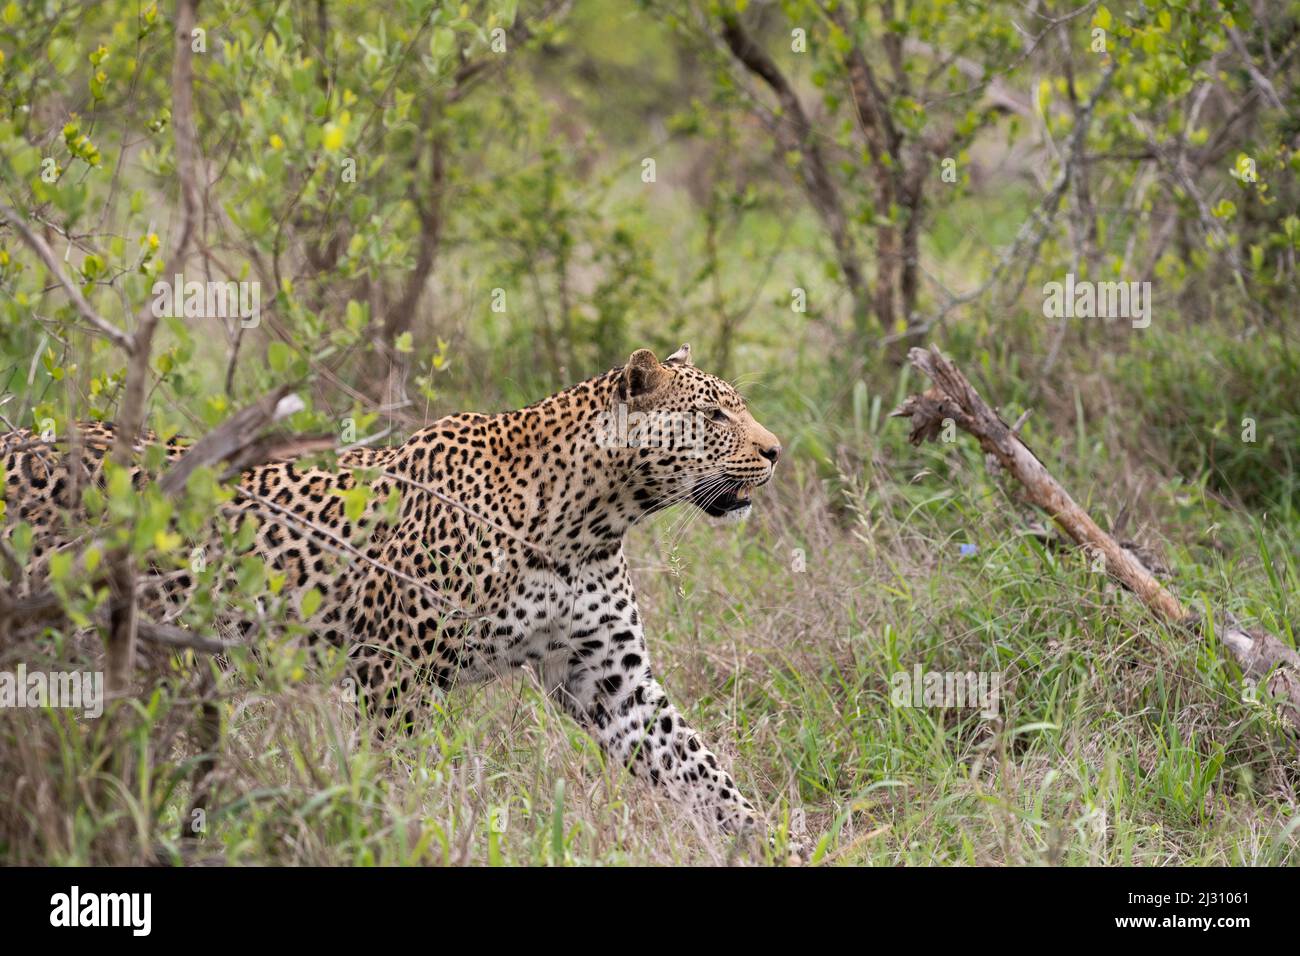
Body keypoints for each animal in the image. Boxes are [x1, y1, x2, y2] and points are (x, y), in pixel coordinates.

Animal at [1, 344, 781, 838]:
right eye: (714, 417)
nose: (776, 450)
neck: (589, 522)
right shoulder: (395, 674)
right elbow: (395, 779)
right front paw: (388, 830)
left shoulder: (607, 676)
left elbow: (701, 770)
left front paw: (771, 842)